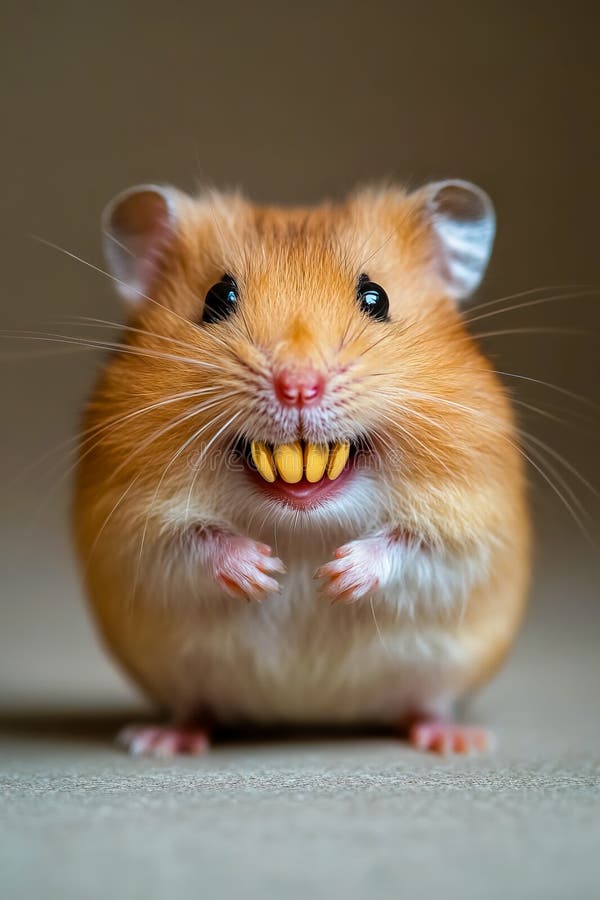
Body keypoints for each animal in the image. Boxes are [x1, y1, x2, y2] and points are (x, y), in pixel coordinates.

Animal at [73, 179, 530, 756]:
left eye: (376, 298)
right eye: (216, 298)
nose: (297, 387)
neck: (302, 520)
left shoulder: (470, 524)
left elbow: (413, 545)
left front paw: (335, 576)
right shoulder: (128, 525)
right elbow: (189, 540)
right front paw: (265, 572)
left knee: (425, 703)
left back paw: (455, 740)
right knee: (194, 707)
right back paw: (158, 740)